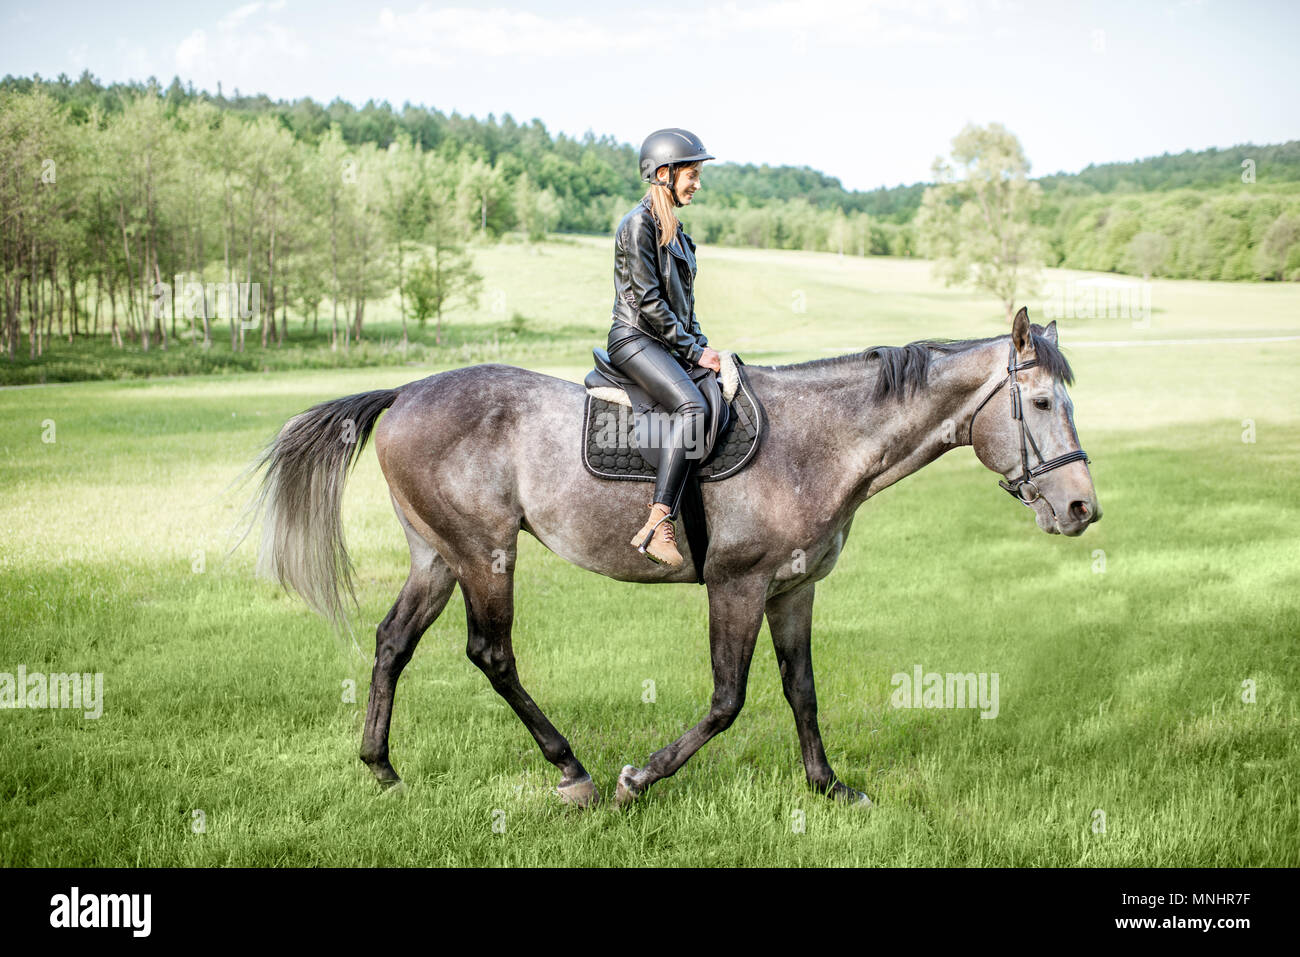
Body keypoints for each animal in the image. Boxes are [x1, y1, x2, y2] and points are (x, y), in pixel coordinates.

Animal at [245, 307, 1100, 807]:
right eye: (1043, 403)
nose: (1082, 508)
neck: (814, 440)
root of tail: (406, 392)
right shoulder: (737, 585)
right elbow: (727, 700)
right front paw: (639, 777)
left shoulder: (793, 590)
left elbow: (802, 691)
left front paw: (829, 787)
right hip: (484, 555)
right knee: (491, 652)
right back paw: (574, 771)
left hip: (438, 555)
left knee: (393, 641)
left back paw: (381, 766)